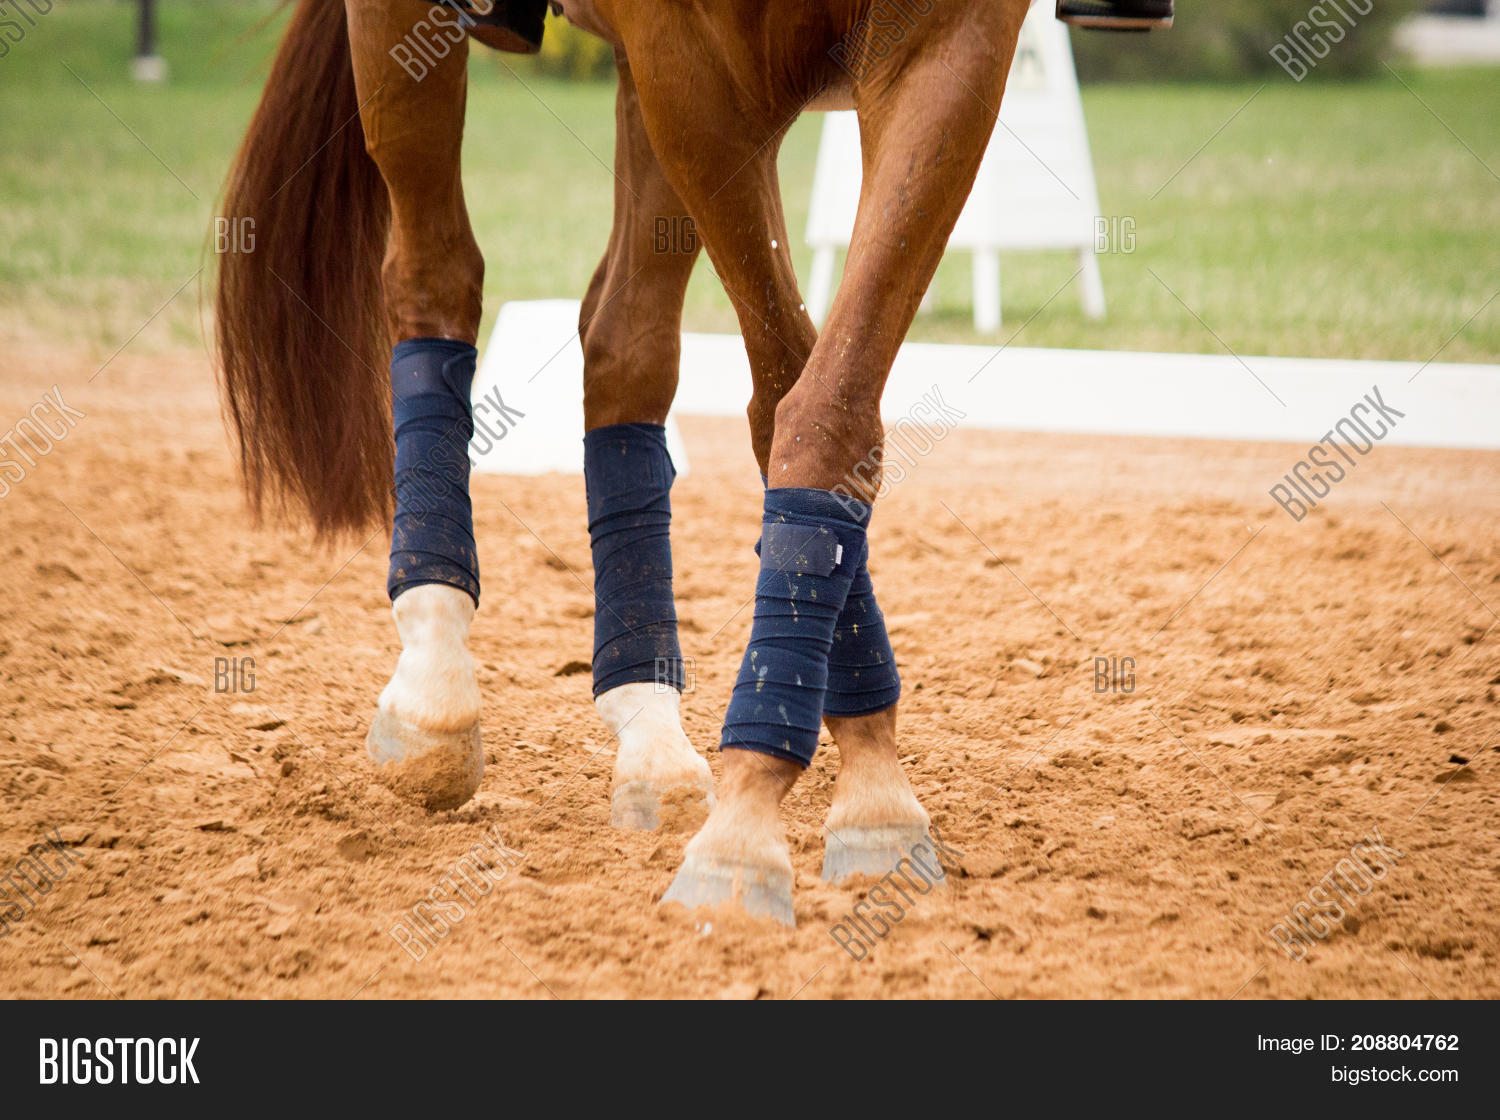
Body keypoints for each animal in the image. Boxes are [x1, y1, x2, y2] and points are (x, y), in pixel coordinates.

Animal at [215, 0, 1029, 925]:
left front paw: (871, 791)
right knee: (434, 277)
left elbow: (829, 405)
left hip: (644, 89)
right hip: (428, 37)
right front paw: (748, 830)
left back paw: (649, 728)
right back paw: (433, 681)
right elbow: (785, 388)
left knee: (624, 346)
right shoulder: (698, 67)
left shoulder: (949, 47)